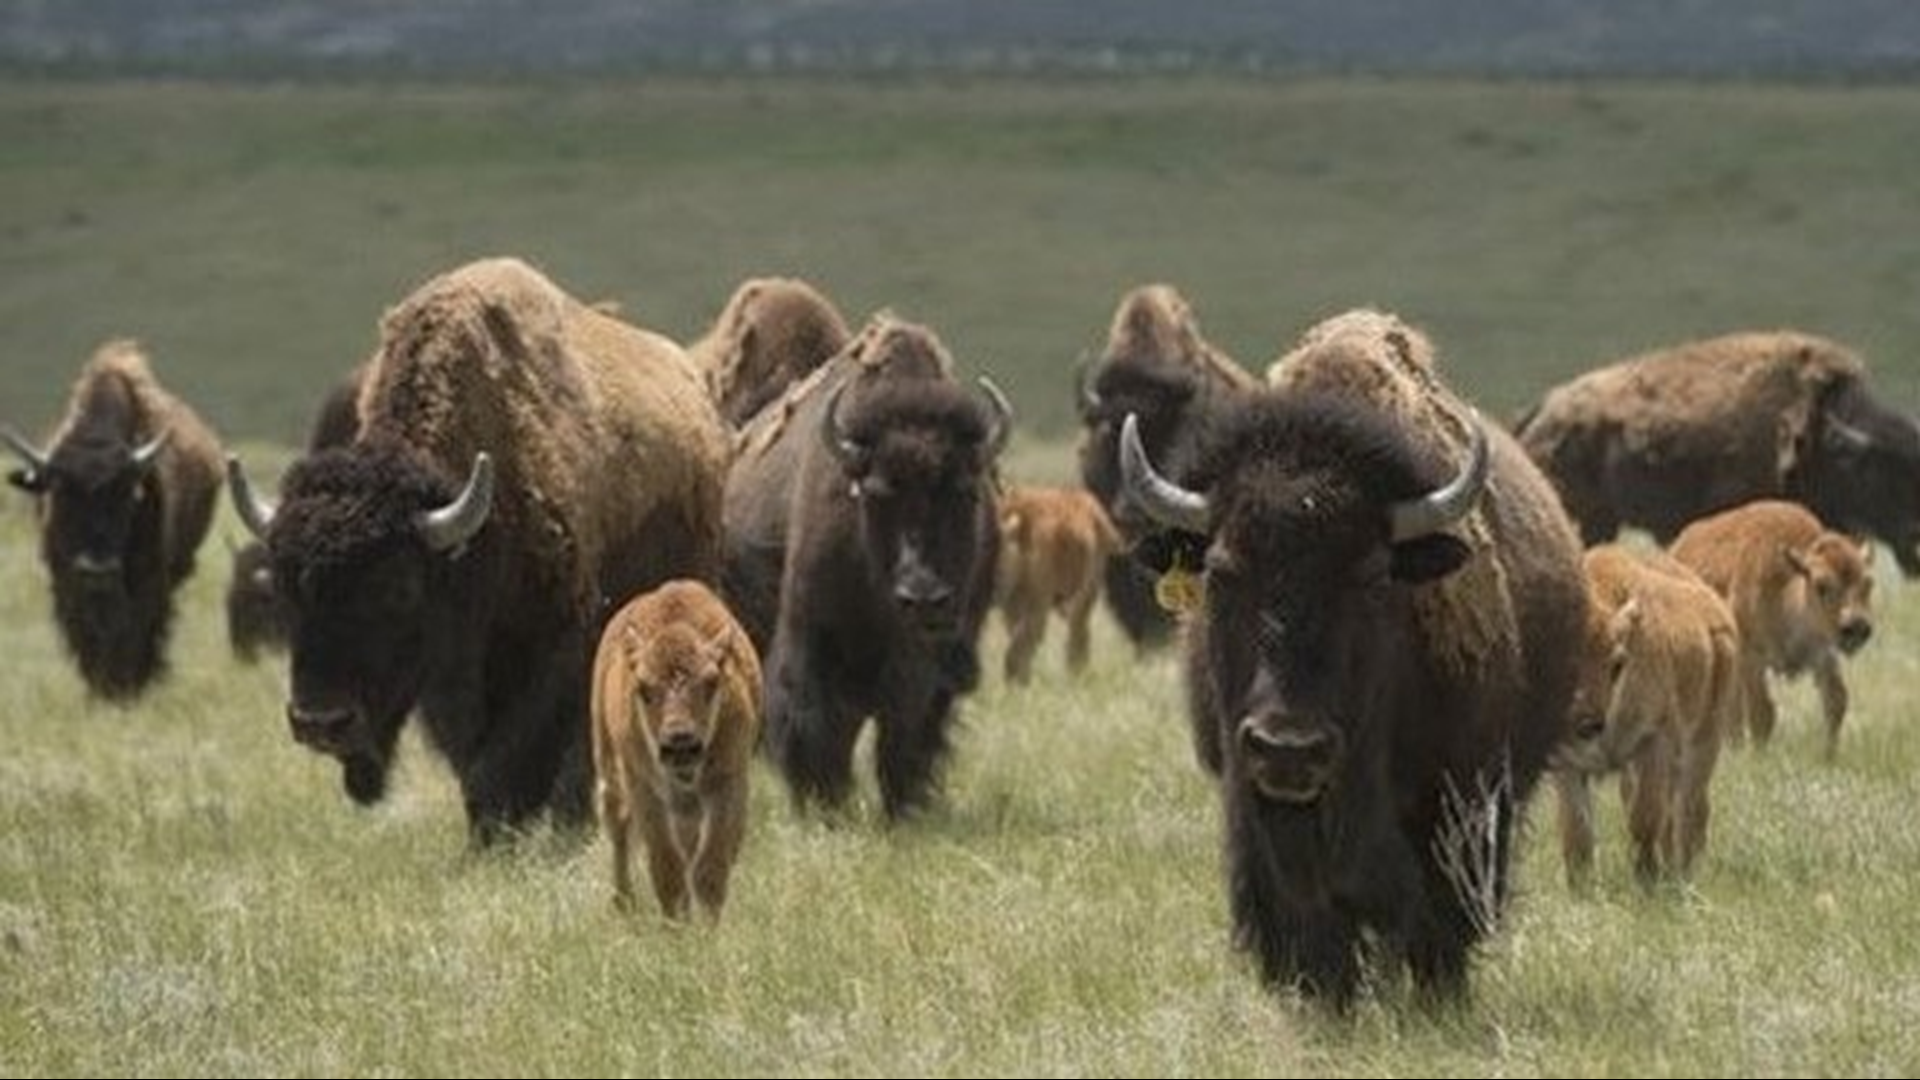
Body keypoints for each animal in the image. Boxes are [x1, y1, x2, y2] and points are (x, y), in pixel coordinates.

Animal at [4, 340, 223, 699]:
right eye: (61, 490)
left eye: (126, 494)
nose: (97, 570)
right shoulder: (65, 578)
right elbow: (85, 629)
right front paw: (102, 686)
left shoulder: (147, 576)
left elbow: (137, 625)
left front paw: (128, 686)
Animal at [229, 257, 730, 845]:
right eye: (287, 588)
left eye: (397, 587)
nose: (321, 722)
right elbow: (475, 763)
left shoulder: (555, 653)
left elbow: (512, 757)